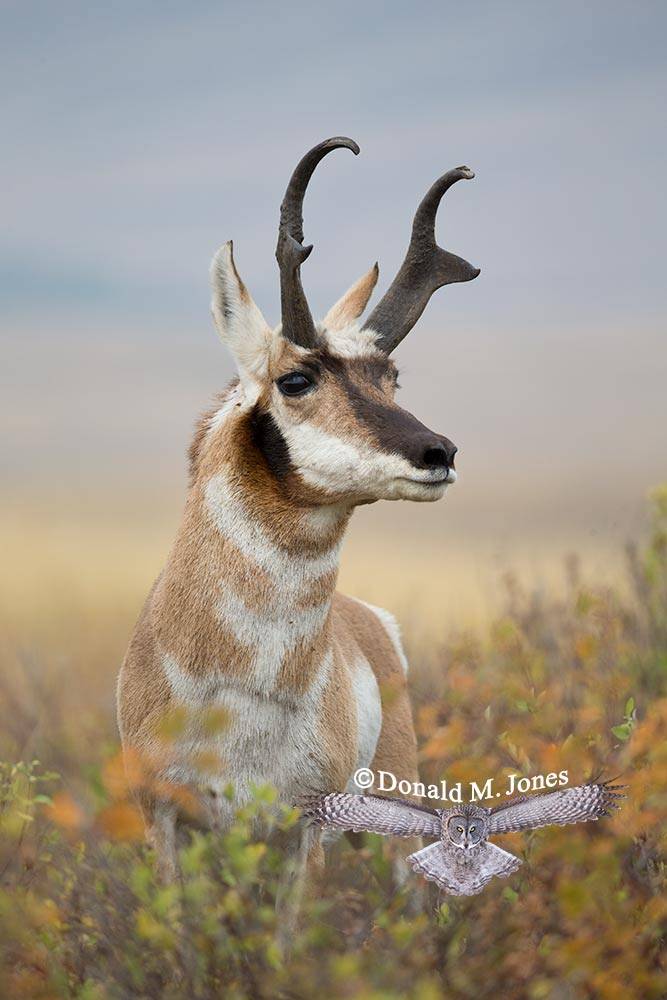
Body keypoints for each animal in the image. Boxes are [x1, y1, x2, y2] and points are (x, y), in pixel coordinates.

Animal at [117, 137, 479, 911]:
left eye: (390, 376)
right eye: (295, 378)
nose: (439, 452)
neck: (238, 694)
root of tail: (371, 621)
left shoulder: (305, 831)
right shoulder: (164, 820)